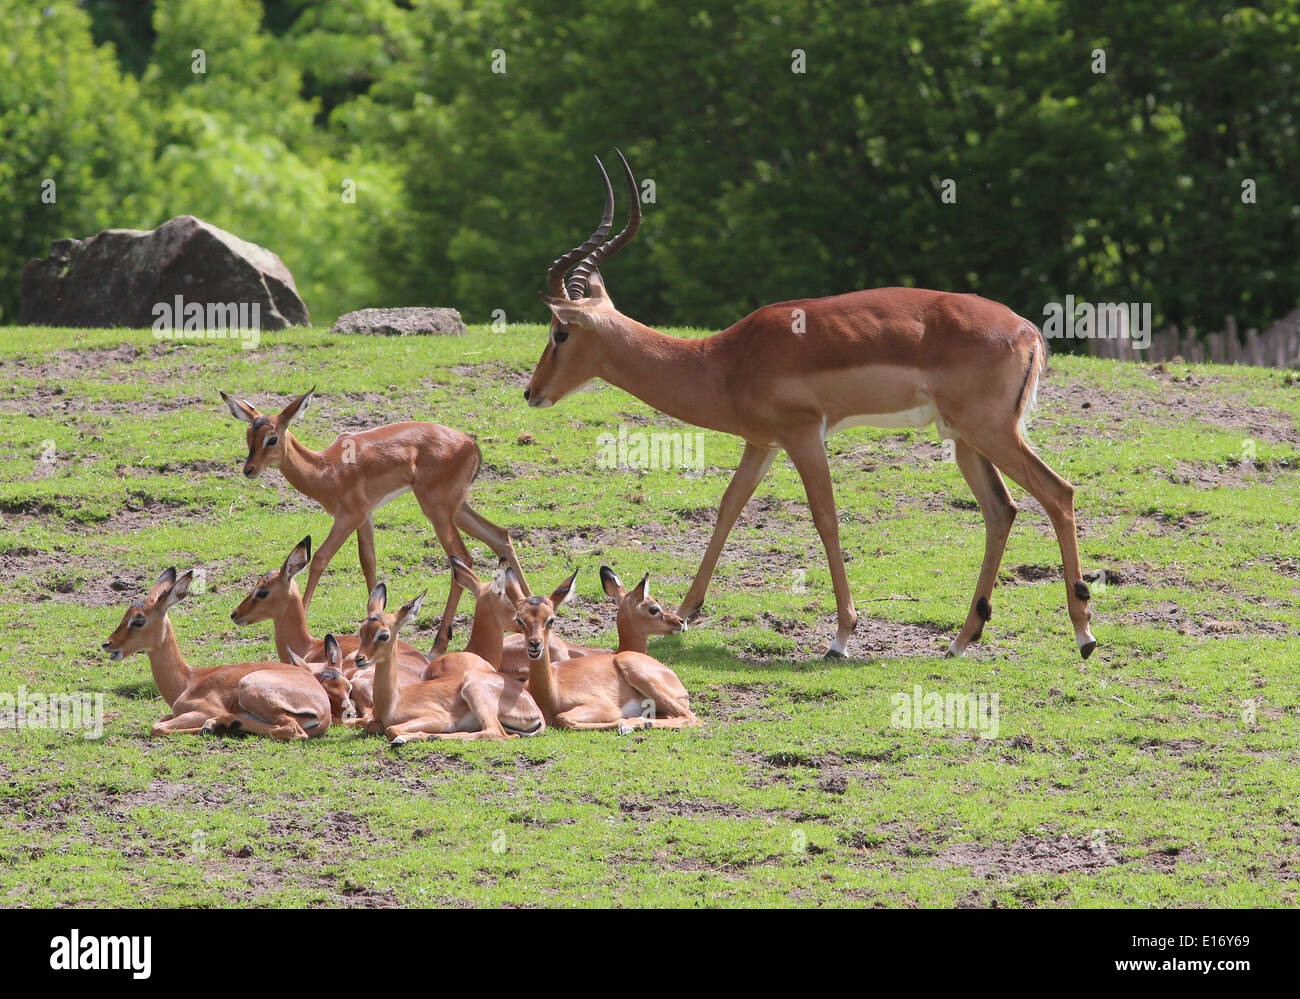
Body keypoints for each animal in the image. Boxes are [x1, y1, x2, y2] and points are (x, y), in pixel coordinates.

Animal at [102, 568, 332, 739]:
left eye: (139, 620)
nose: (107, 644)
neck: (188, 681)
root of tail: (324, 707)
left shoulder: (201, 710)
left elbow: (156, 727)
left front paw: (208, 727)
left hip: (251, 689)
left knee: (292, 729)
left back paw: (220, 724)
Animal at [220, 388, 529, 656]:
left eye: (272, 438)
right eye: (248, 434)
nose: (249, 469)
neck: (326, 469)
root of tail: (471, 444)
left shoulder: (348, 517)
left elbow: (320, 558)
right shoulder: (365, 517)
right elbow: (368, 560)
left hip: (437, 510)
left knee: (462, 557)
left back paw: (438, 644)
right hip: (458, 508)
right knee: (500, 535)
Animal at [353, 583, 546, 745]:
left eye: (384, 635)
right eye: (361, 631)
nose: (359, 659)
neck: (392, 701)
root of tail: (535, 709)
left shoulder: (438, 717)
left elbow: (392, 728)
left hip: (474, 689)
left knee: (495, 732)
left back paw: (430, 736)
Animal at [511, 571, 700, 733]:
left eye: (551, 619)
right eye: (519, 619)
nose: (535, 644)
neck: (549, 693)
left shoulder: (603, 707)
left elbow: (563, 718)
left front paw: (625, 723)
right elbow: (563, 719)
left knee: (692, 718)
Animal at [525, 152, 1097, 660]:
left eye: (560, 332)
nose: (532, 392)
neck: (723, 361)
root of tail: (1027, 331)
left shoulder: (803, 436)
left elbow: (825, 518)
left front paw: (841, 637)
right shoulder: (762, 443)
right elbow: (728, 509)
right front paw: (683, 615)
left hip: (993, 432)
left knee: (1058, 493)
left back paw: (1084, 636)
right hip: (963, 439)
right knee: (1002, 509)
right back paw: (962, 640)